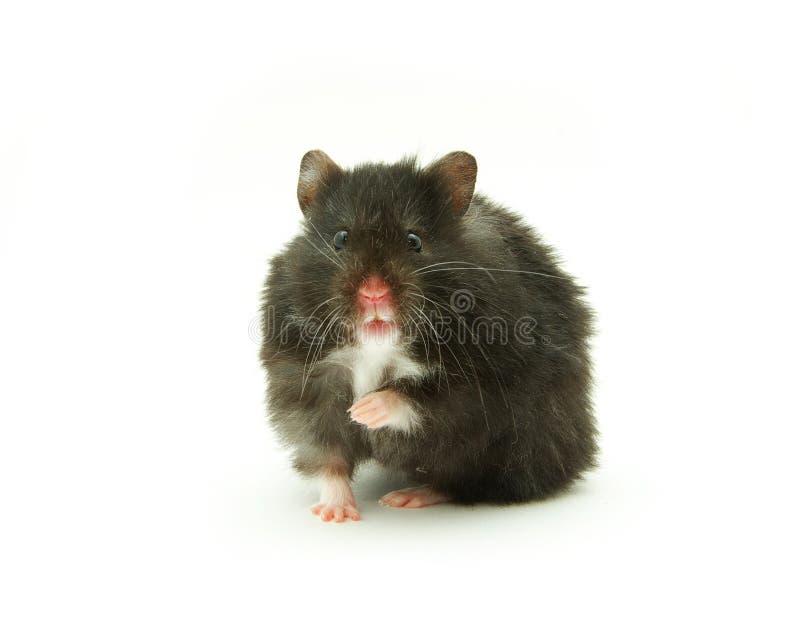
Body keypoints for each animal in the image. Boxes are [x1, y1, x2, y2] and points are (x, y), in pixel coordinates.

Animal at [260, 150, 597, 522]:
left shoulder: (483, 384)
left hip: (519, 448)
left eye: (414, 241)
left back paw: (405, 497)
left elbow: (419, 398)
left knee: (461, 481)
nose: (374, 294)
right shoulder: (309, 385)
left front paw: (364, 410)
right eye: (340, 239)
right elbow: (328, 456)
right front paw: (336, 514)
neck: (377, 346)